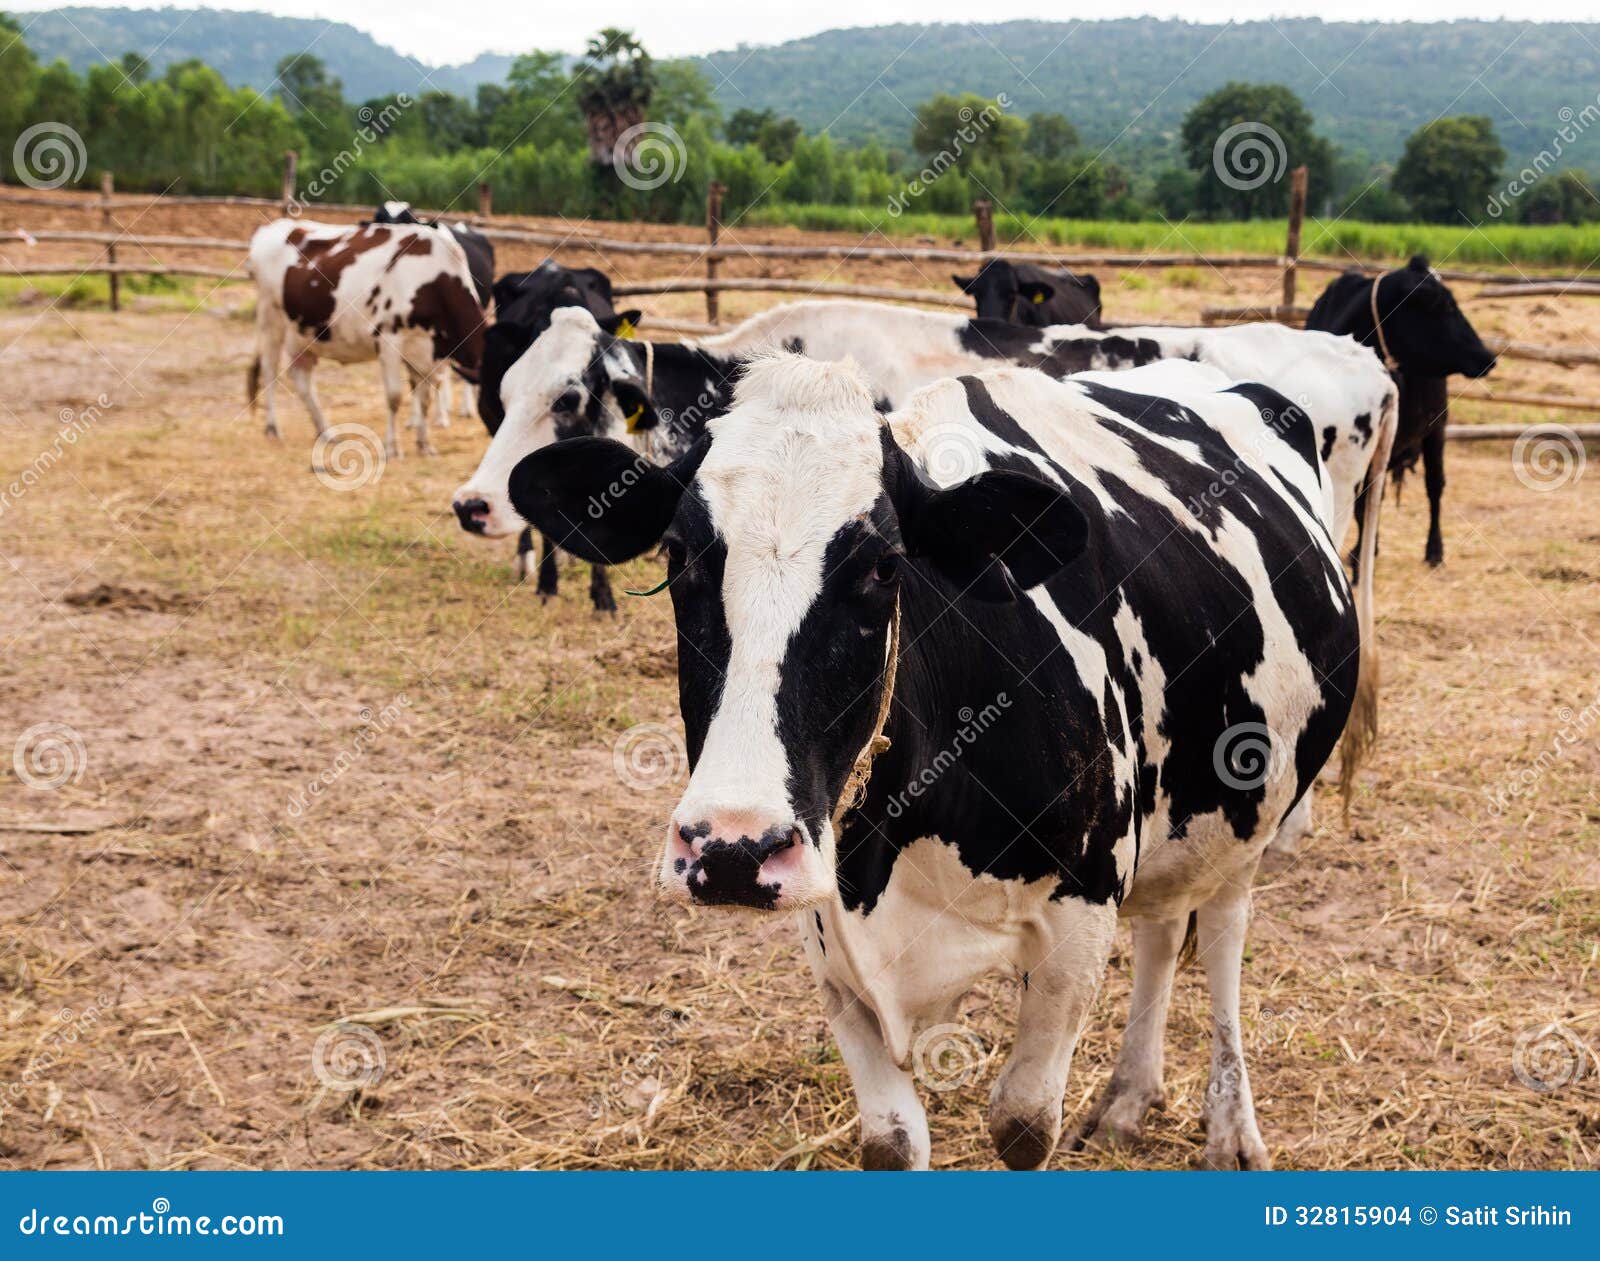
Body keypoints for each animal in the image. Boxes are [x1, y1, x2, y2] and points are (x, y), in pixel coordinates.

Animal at [246, 219, 484, 460]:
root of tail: (277, 225)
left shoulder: (429, 352)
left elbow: (425, 397)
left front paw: (424, 444)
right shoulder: (389, 339)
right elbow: (395, 397)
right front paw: (392, 447)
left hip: (302, 334)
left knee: (302, 380)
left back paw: (326, 432)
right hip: (270, 318)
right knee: (269, 370)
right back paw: (273, 428)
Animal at [505, 353, 1367, 1170]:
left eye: (885, 566)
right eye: (679, 553)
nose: (733, 847)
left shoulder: (1081, 914)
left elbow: (1022, 1124)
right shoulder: (830, 932)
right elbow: (891, 1141)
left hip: (1255, 809)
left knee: (1219, 936)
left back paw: (1231, 1129)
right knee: (1161, 929)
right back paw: (1127, 1098)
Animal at [1306, 256, 1497, 566]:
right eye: (1443, 306)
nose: (1488, 357)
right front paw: (1364, 550)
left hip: (1437, 430)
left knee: (1435, 486)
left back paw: (1434, 549)